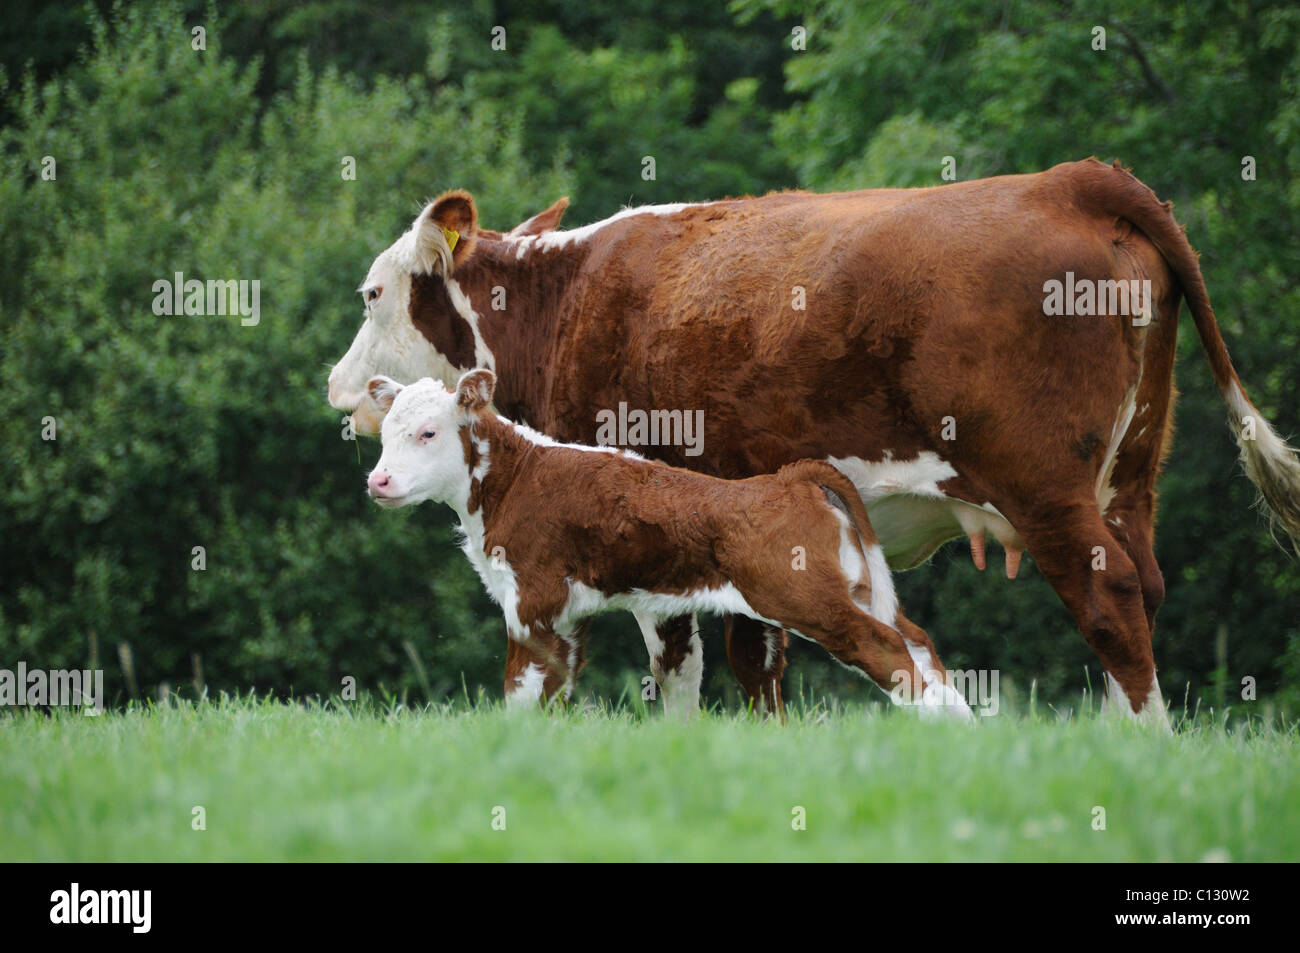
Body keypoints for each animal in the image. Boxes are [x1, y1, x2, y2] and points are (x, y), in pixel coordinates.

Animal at [364, 369, 973, 719]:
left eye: (428, 432)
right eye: (386, 432)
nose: (379, 481)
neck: (515, 479)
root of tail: (789, 478)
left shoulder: (531, 602)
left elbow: (520, 691)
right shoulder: (569, 615)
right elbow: (556, 689)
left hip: (805, 597)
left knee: (886, 646)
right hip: (854, 586)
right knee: (917, 640)